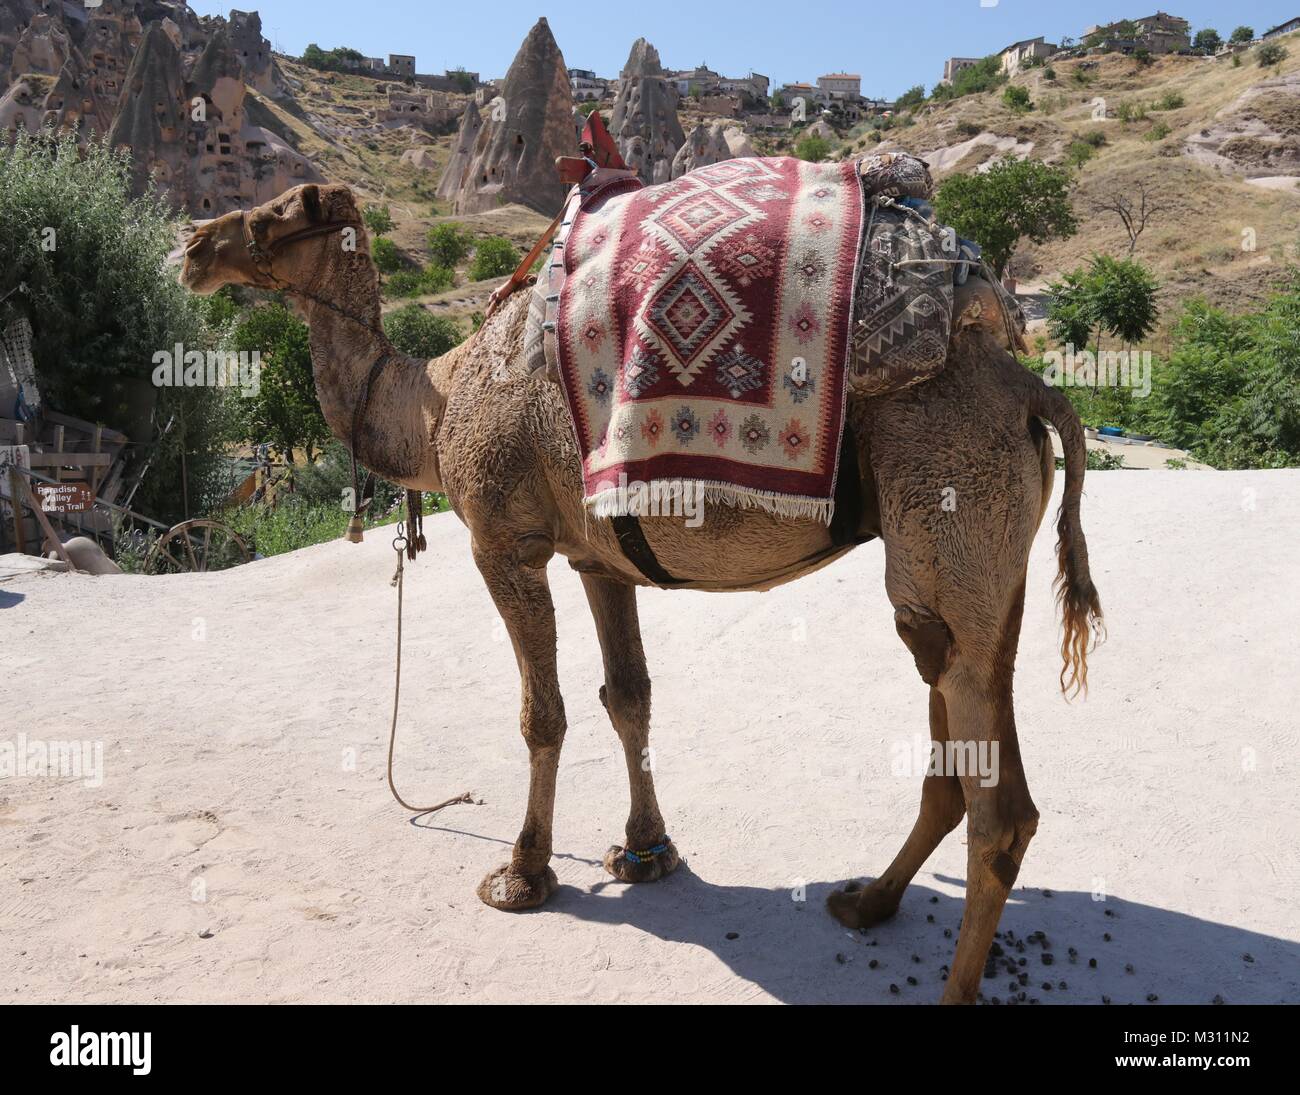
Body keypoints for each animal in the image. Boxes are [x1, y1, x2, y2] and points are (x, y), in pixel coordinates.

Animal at [180, 182, 1103, 1004]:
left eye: (277, 213)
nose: (192, 245)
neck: (439, 405)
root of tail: (1029, 387)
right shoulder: (598, 559)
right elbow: (629, 694)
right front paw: (646, 852)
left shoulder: (503, 542)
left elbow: (543, 713)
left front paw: (523, 871)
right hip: (975, 574)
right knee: (952, 716)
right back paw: (866, 900)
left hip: (948, 508)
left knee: (999, 807)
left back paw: (942, 974)